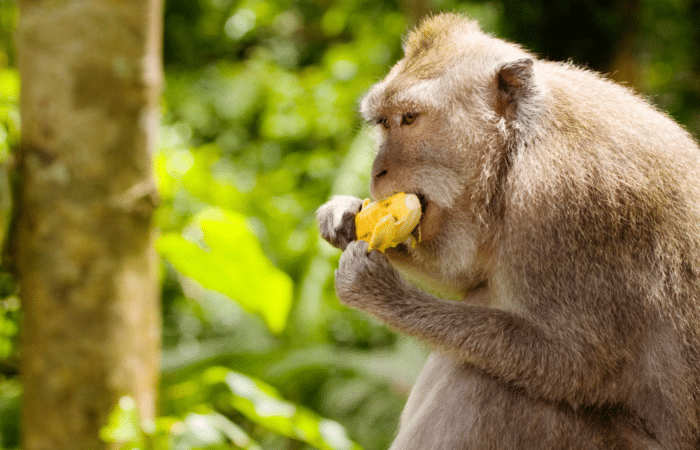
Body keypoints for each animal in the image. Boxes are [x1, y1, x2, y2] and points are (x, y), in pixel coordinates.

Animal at [316, 13, 700, 450]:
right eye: (383, 122)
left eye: (409, 118)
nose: (377, 170)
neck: (518, 147)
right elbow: (469, 276)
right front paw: (345, 215)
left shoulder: (566, 205)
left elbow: (581, 365)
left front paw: (380, 291)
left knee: (487, 385)